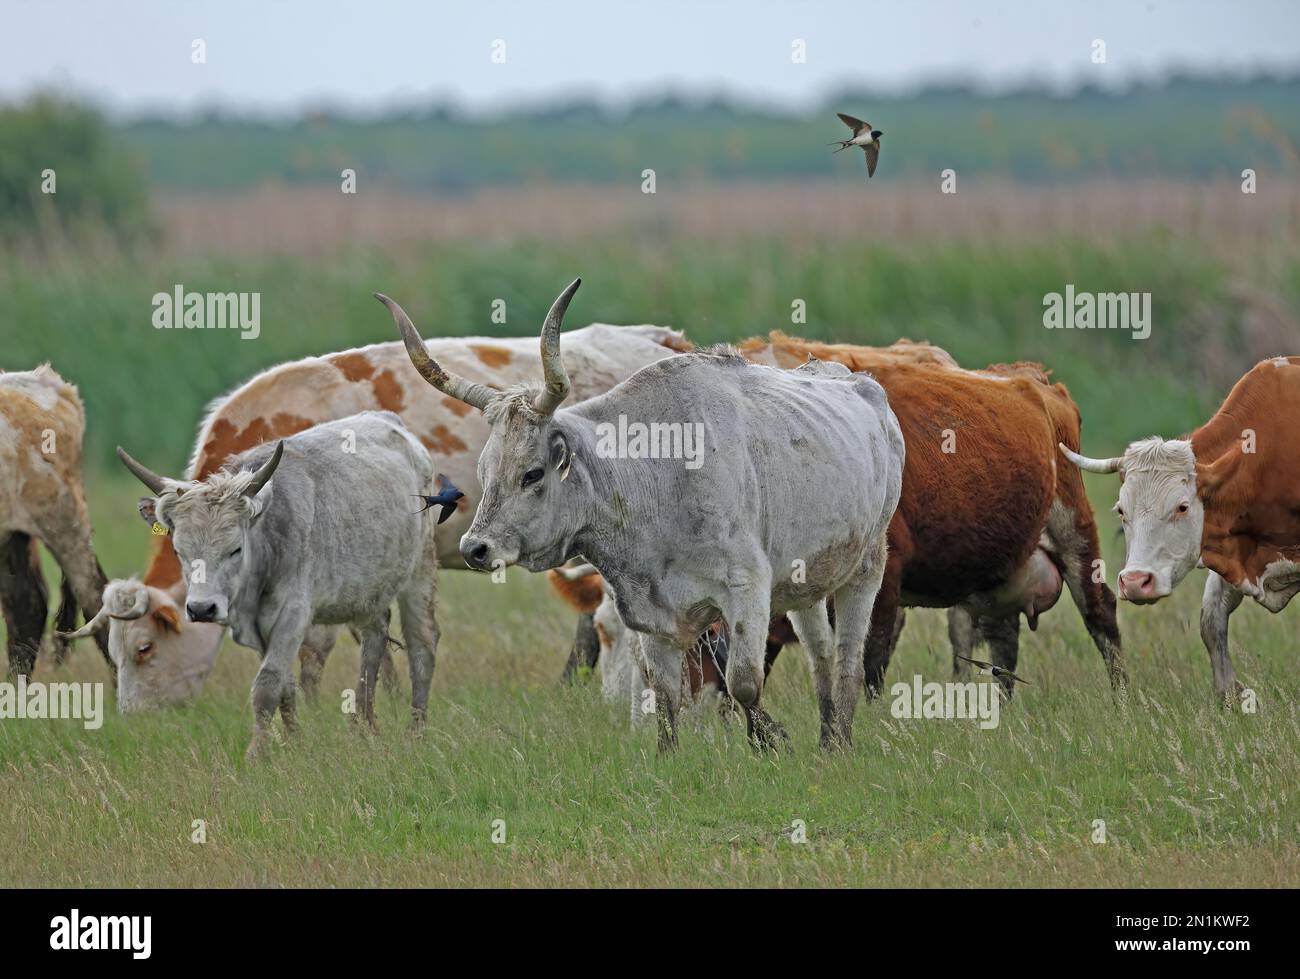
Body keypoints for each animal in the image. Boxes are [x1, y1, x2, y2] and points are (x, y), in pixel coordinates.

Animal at [110, 412, 440, 758]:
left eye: (235, 549)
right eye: (179, 552)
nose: (201, 608)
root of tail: (391, 422)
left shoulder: (292, 616)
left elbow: (267, 685)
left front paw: (258, 753)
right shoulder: (260, 630)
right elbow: (285, 685)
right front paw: (295, 743)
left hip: (420, 570)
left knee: (422, 643)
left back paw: (416, 732)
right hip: (369, 591)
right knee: (374, 640)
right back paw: (362, 728)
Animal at [379, 279, 906, 750]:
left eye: (532, 474)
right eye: (484, 471)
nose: (475, 548)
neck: (659, 476)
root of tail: (862, 384)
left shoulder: (746, 589)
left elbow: (743, 682)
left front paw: (770, 740)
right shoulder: (652, 616)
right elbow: (666, 699)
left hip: (866, 566)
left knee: (847, 658)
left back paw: (841, 740)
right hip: (806, 580)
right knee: (821, 654)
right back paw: (828, 738)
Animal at [1060, 356, 1300, 701]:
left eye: (1182, 507)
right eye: (1121, 511)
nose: (1135, 582)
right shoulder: (1231, 553)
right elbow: (1211, 622)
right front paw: (1230, 699)